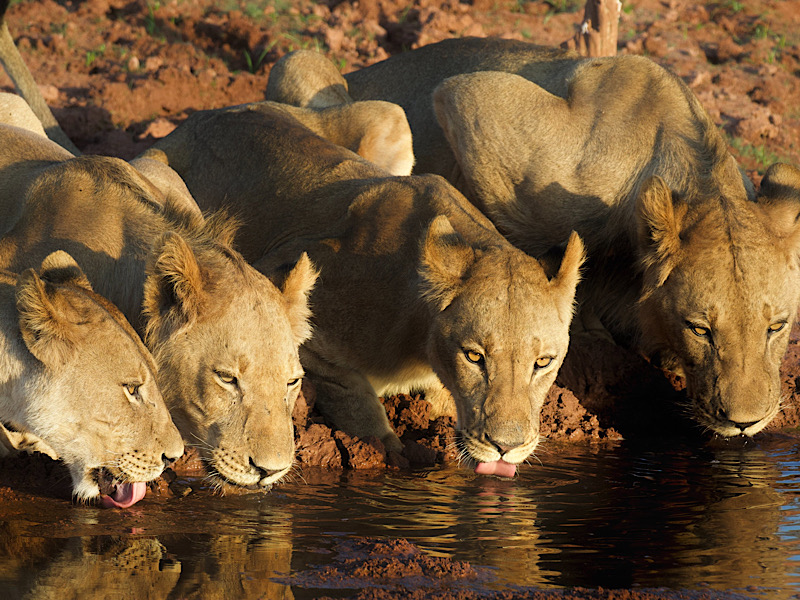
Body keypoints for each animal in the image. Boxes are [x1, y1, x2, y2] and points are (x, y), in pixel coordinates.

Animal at [139, 101, 584, 476]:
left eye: (543, 362)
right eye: (474, 356)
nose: (506, 447)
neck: (420, 338)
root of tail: (205, 114)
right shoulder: (285, 275)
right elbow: (354, 393)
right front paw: (391, 450)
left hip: (390, 114)